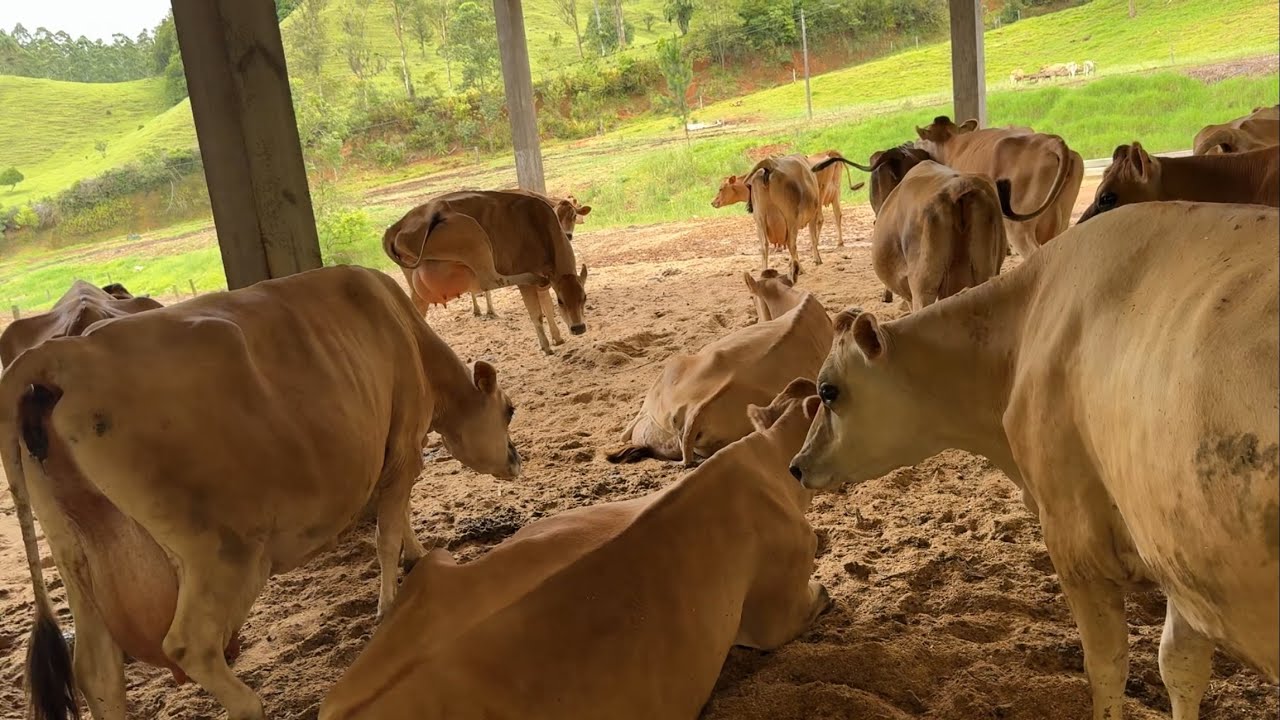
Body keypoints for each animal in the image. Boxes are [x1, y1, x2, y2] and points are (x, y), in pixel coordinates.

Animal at [384, 190, 590, 354]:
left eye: (584, 298)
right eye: (561, 301)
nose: (578, 328)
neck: (539, 227)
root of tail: (397, 225)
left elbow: (547, 307)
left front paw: (557, 338)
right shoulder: (527, 282)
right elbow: (536, 313)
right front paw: (546, 346)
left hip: (416, 284)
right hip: (474, 235)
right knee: (489, 279)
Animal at [789, 202, 1279, 720]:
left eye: (828, 390)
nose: (797, 465)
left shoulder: (1076, 540)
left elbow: (1107, 667)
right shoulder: (1179, 560)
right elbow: (1181, 667)